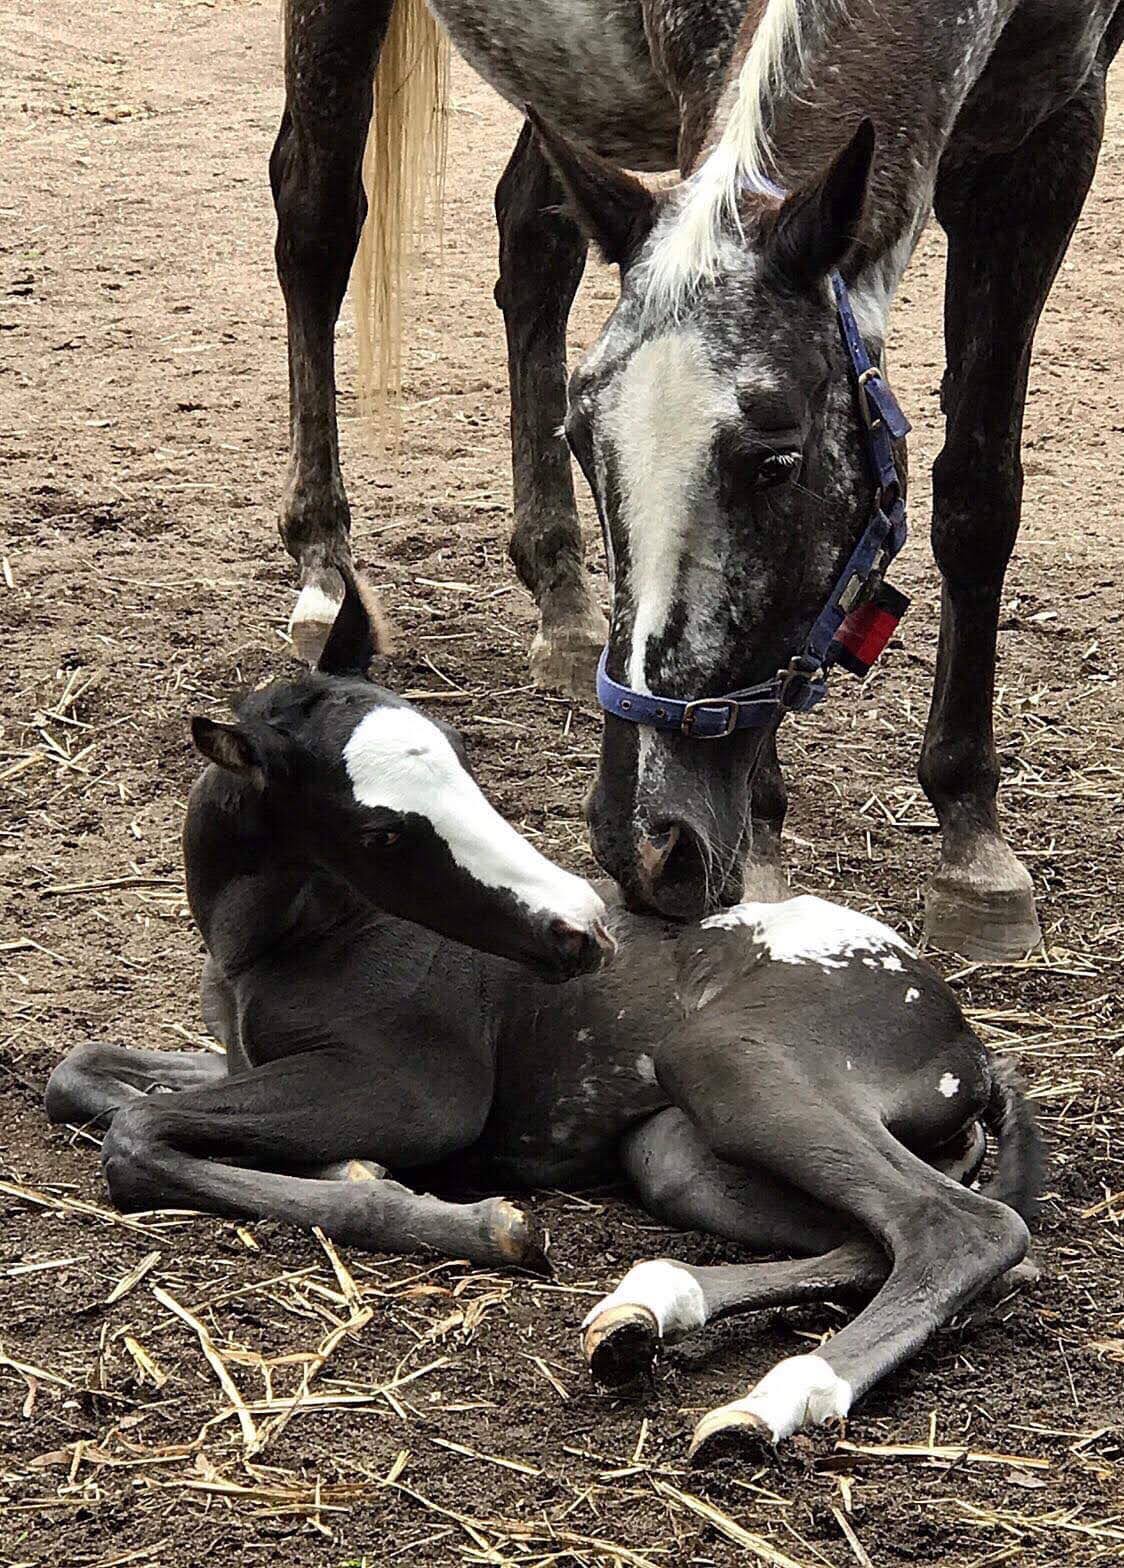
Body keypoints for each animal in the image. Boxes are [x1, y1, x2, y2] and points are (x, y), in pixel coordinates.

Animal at [46, 580, 1041, 1462]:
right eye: (381, 835)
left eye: (462, 757)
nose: (583, 929)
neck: (277, 946)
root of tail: (967, 1044)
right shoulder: (243, 1060)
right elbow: (79, 1073)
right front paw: (352, 1167)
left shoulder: (414, 1093)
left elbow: (135, 1138)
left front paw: (455, 1214)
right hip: (674, 1154)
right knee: (875, 1238)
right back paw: (645, 1313)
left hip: (733, 1064)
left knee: (963, 1229)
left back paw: (770, 1403)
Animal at [271, 0, 1121, 961]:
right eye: (583, 440)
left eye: (776, 462)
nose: (641, 842)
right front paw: (765, 850)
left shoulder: (1046, 148)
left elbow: (979, 500)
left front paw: (971, 837)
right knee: (315, 218)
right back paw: (322, 562)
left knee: (534, 236)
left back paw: (562, 599)